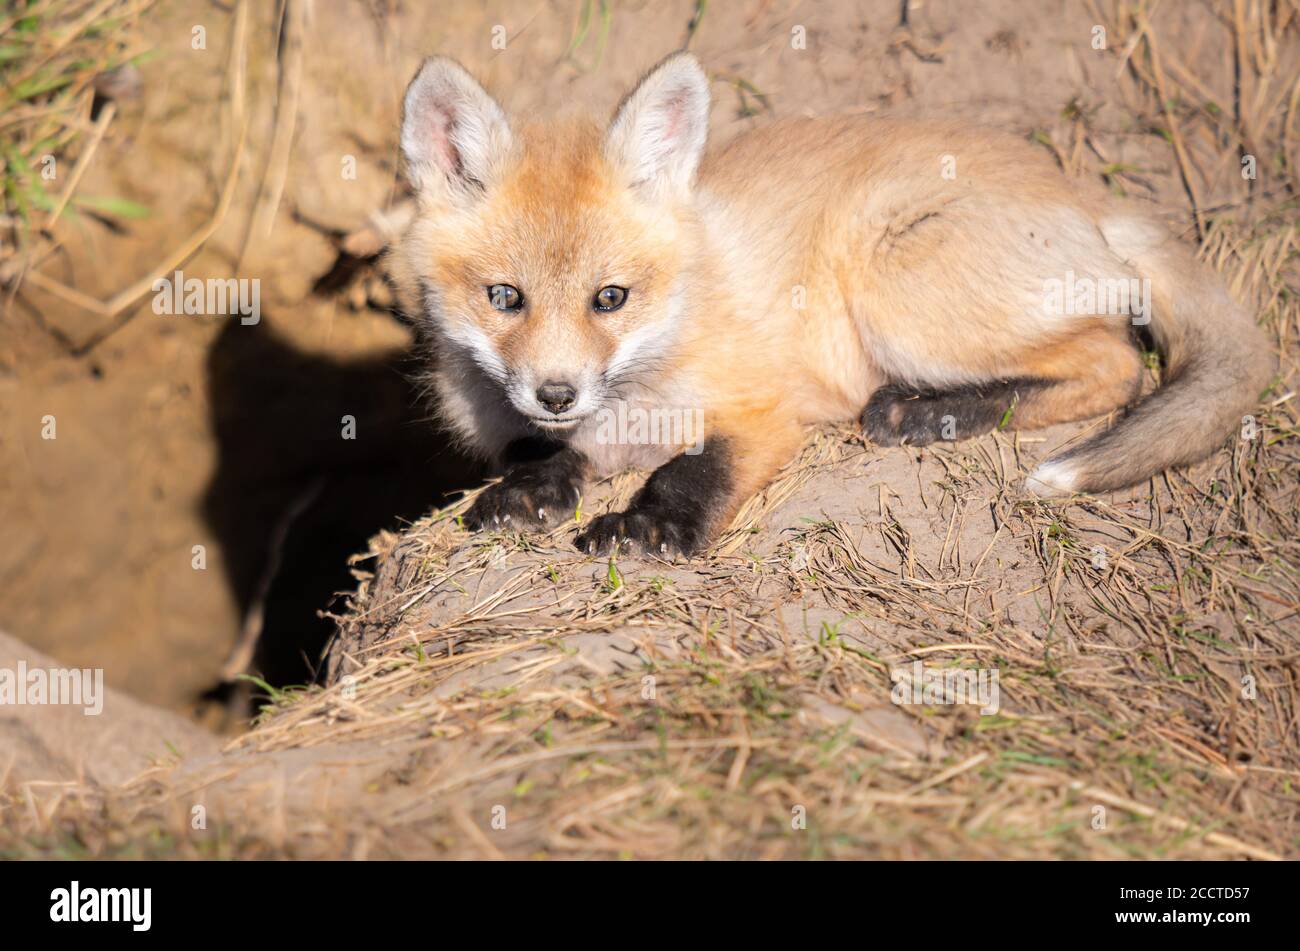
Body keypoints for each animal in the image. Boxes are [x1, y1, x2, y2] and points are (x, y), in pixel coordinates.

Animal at [390, 51, 1274, 557]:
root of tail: (1084, 192)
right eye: (506, 297)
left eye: (610, 297)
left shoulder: (767, 405)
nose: (556, 392)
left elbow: (699, 465)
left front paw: (651, 527)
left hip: (888, 280)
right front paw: (534, 486)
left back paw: (926, 411)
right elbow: (551, 452)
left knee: (1117, 364)